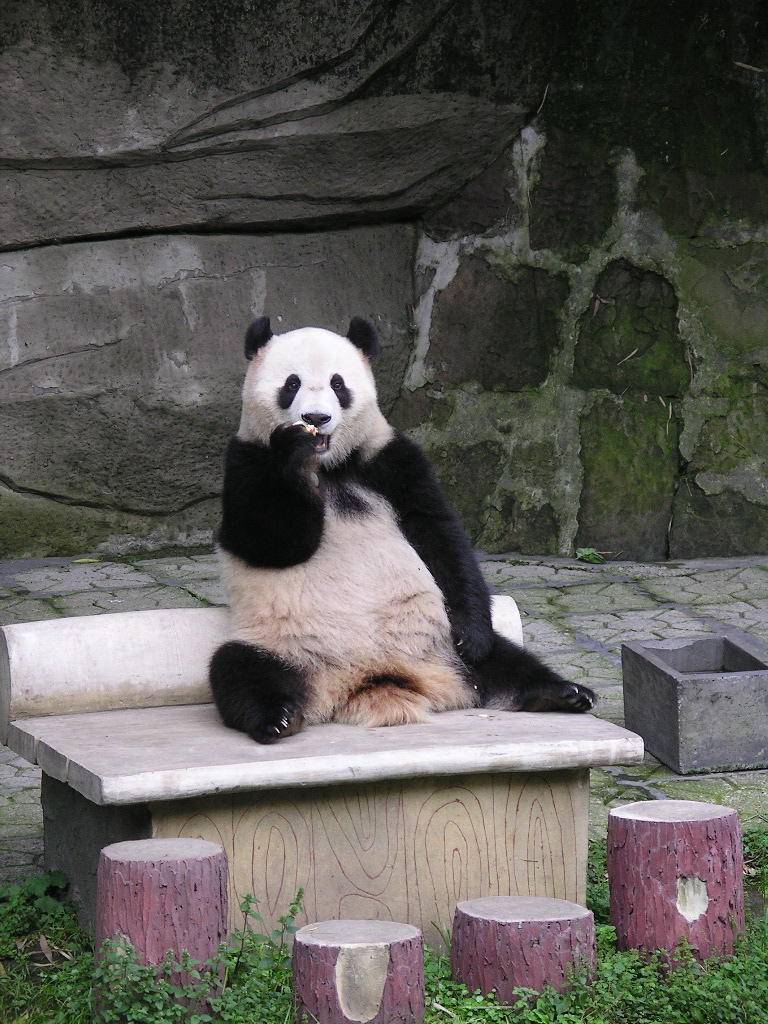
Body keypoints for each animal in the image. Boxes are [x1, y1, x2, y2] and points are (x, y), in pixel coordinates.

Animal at [209, 316, 596, 743]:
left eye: (338, 384)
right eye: (291, 384)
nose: (315, 419)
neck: (331, 467)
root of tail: (375, 677)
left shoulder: (389, 457)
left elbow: (438, 532)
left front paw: (474, 634)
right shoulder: (246, 459)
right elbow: (268, 541)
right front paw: (295, 454)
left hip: (441, 641)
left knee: (505, 659)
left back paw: (560, 692)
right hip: (279, 646)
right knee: (239, 672)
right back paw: (277, 718)